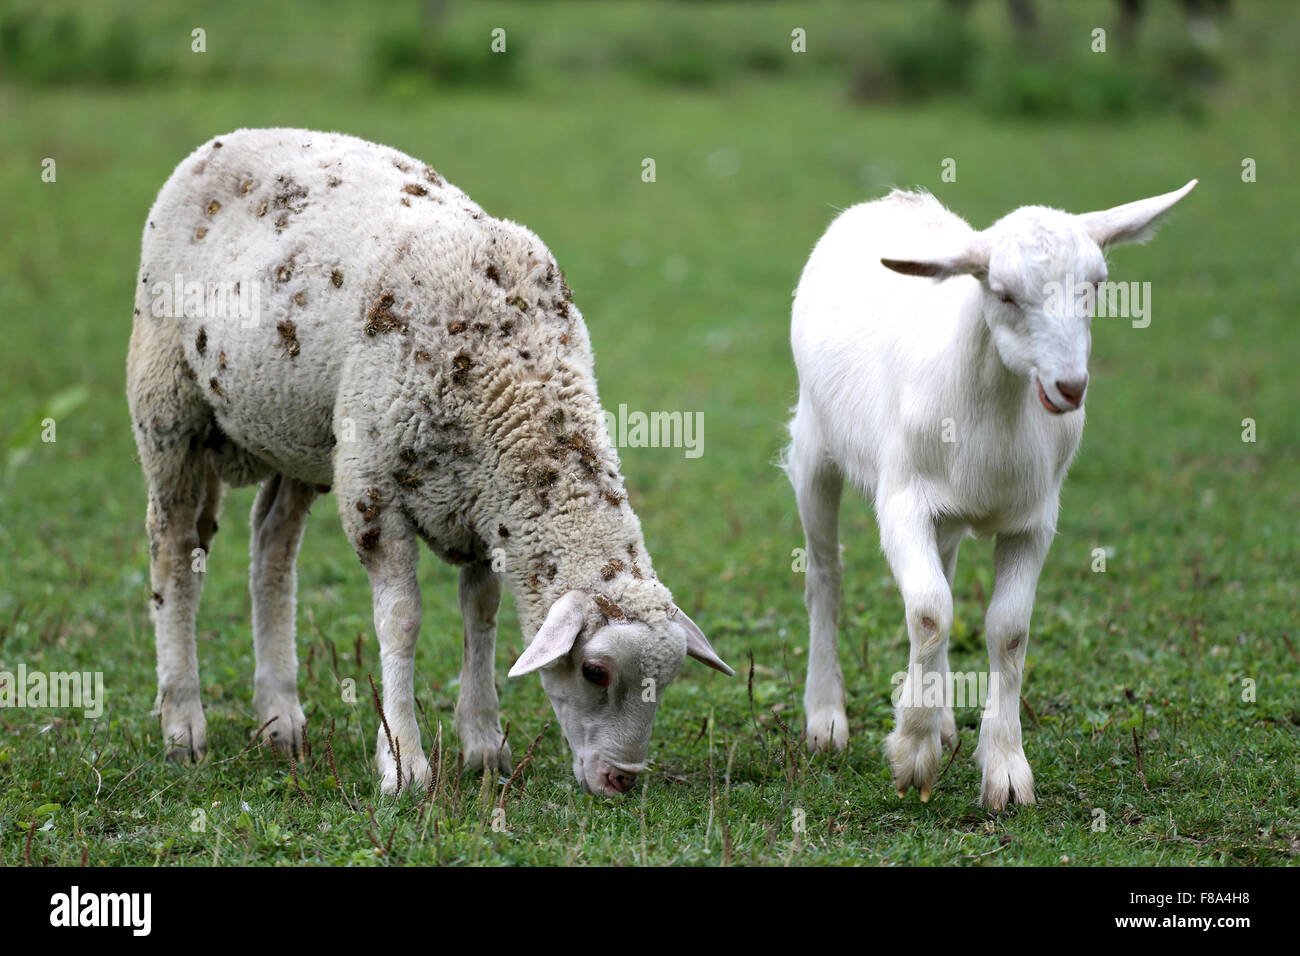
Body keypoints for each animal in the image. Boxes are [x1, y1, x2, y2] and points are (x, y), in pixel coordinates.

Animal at [127, 128, 733, 797]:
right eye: (595, 671)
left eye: (669, 680)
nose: (621, 779)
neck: (518, 379)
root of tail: (231, 137)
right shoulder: (373, 490)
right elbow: (402, 621)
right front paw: (403, 764)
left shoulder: (488, 509)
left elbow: (482, 614)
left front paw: (484, 744)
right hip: (168, 402)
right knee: (174, 552)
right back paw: (183, 724)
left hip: (297, 431)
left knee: (272, 551)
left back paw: (280, 718)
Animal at [786, 180, 1196, 809]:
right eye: (1002, 293)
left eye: (1096, 284)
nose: (1069, 386)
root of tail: (895, 198)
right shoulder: (901, 500)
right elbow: (930, 613)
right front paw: (912, 756)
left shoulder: (1033, 520)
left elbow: (1006, 630)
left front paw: (1004, 770)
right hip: (814, 447)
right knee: (826, 578)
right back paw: (827, 721)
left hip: (947, 516)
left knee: (945, 573)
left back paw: (942, 719)